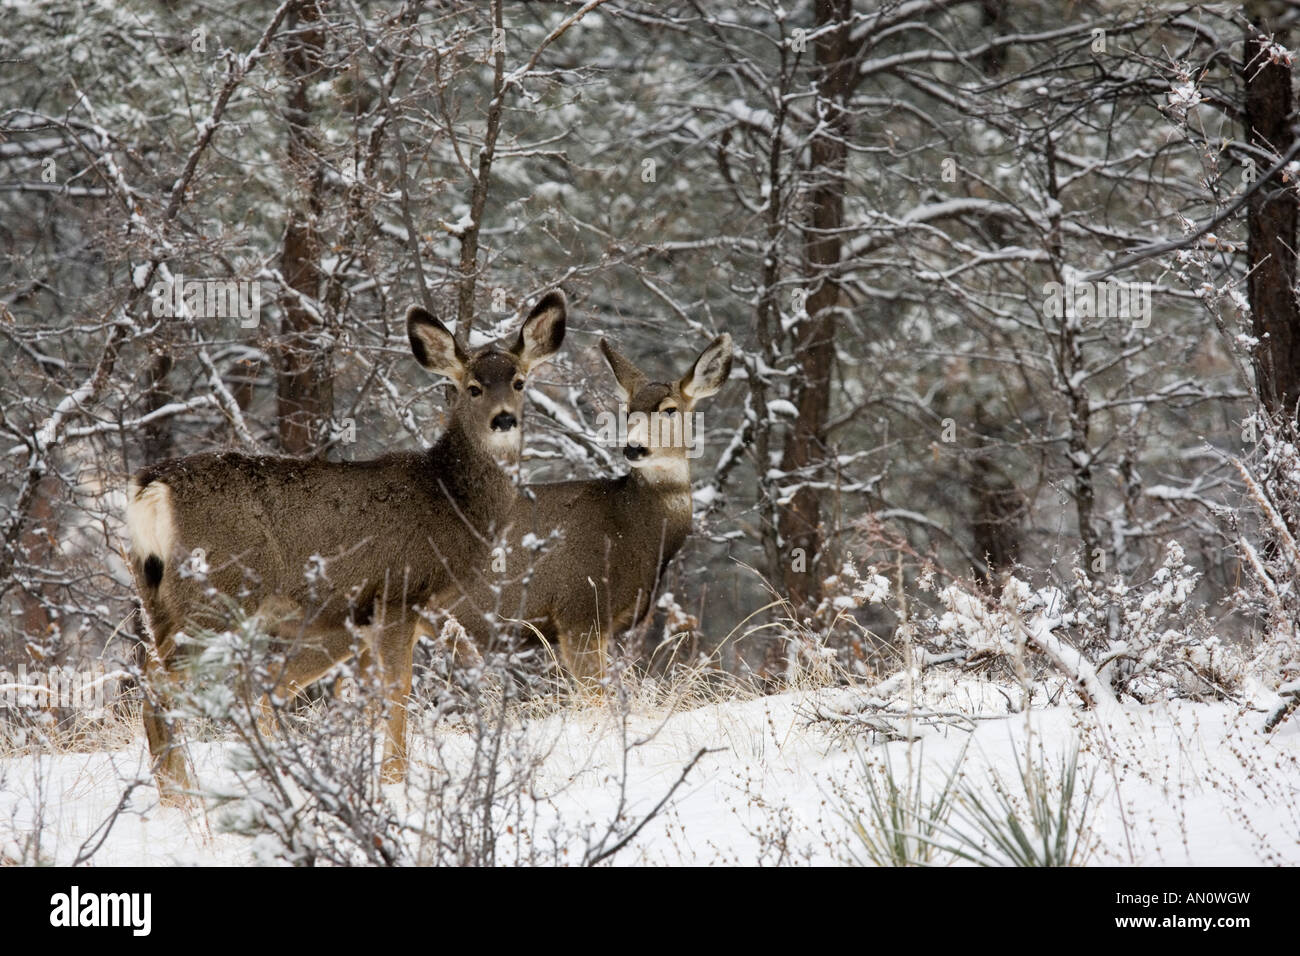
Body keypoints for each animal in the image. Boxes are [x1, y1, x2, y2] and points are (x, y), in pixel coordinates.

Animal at [125, 291, 566, 802]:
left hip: (156, 597)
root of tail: (151, 486)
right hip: (214, 594)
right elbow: (397, 688)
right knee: (159, 682)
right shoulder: (399, 591)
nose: (504, 419)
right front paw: (393, 779)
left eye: (519, 382)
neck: (451, 499)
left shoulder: (378, 613)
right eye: (473, 387)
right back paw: (180, 797)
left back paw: (179, 789)